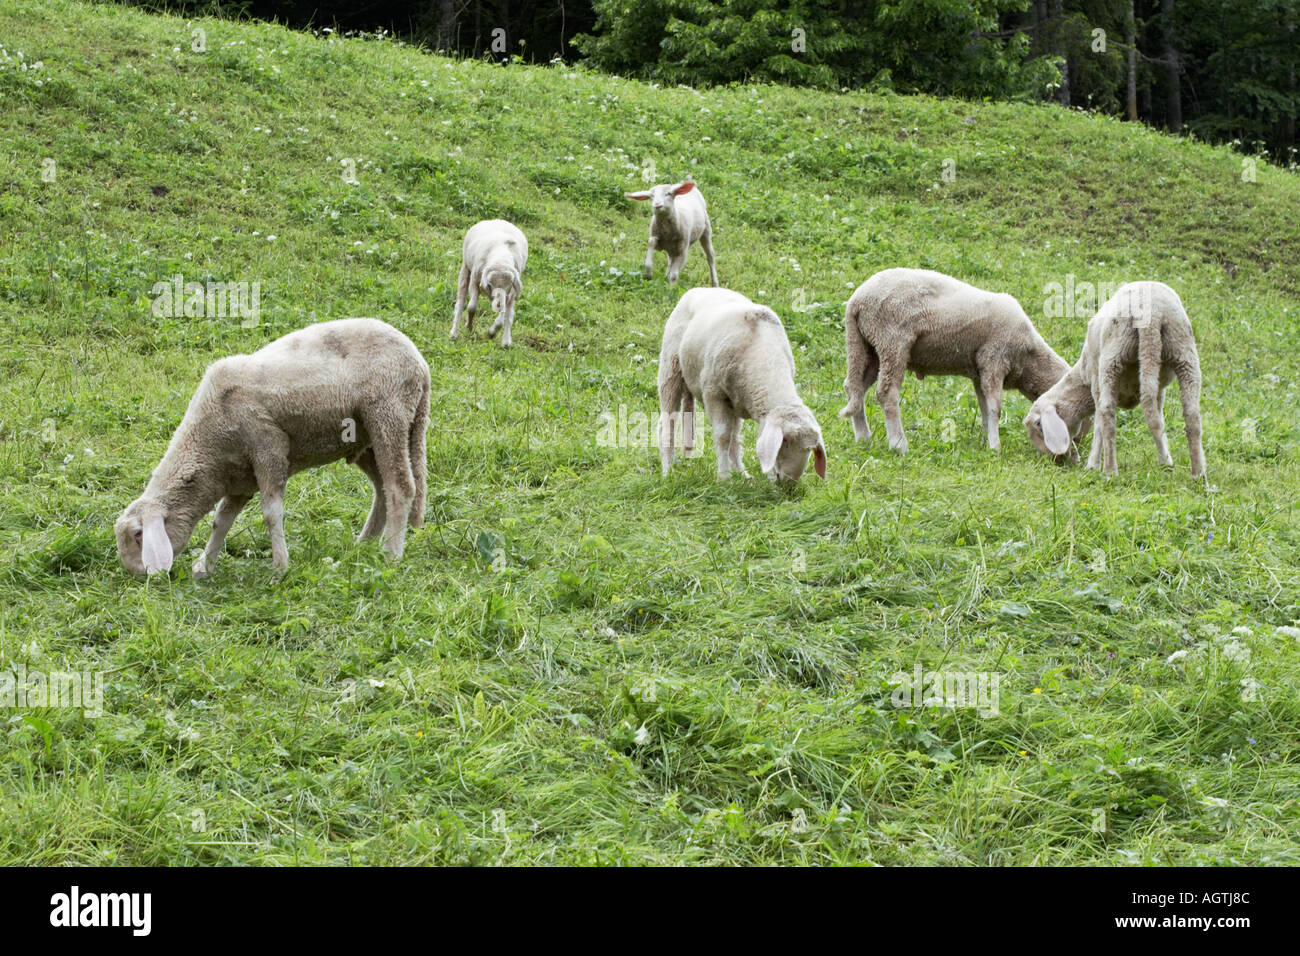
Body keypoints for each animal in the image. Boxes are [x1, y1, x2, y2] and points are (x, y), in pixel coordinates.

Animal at [114, 318, 430, 578]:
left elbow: (270, 512)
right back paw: (359, 548)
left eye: (138, 535)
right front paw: (205, 566)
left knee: (400, 486)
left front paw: (280, 567)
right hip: (365, 439)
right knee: (382, 489)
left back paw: (390, 555)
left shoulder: (268, 447)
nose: (143, 576)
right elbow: (221, 520)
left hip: (388, 416)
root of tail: (420, 363)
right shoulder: (239, 477)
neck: (208, 443)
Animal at [450, 219, 528, 348]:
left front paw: (492, 333)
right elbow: (471, 307)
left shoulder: (510, 292)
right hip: (465, 268)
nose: (498, 303)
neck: (501, 256)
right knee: (460, 301)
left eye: (509, 284)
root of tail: (497, 220)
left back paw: (506, 342)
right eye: (491, 283)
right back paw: (454, 333)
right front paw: (469, 327)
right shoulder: (474, 281)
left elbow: (503, 317)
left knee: (509, 314)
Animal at [658, 287, 826, 482]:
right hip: (671, 368)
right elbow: (723, 436)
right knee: (666, 424)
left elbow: (734, 438)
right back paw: (667, 471)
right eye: (785, 440)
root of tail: (700, 289)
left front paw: (740, 474)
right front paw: (723, 477)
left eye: (810, 449)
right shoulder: (714, 394)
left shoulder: (739, 399)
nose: (790, 483)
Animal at [838, 268, 1070, 453]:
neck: (1029, 355)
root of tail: (856, 301)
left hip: (865, 345)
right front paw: (995, 447)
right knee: (886, 393)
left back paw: (863, 438)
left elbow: (984, 407)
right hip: (892, 340)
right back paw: (898, 444)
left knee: (854, 388)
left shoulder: (979, 370)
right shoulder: (994, 357)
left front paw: (985, 441)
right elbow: (995, 408)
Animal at [1024, 281, 1205, 478]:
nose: (1055, 461)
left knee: (1107, 413)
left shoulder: (1095, 383)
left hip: (1113, 356)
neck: (1082, 379)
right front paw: (1165, 457)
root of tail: (1152, 311)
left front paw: (1092, 465)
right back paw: (1198, 474)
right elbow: (1159, 417)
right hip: (1183, 350)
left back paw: (1110, 471)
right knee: (1191, 415)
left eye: (1038, 425)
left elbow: (1098, 423)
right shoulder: (1159, 390)